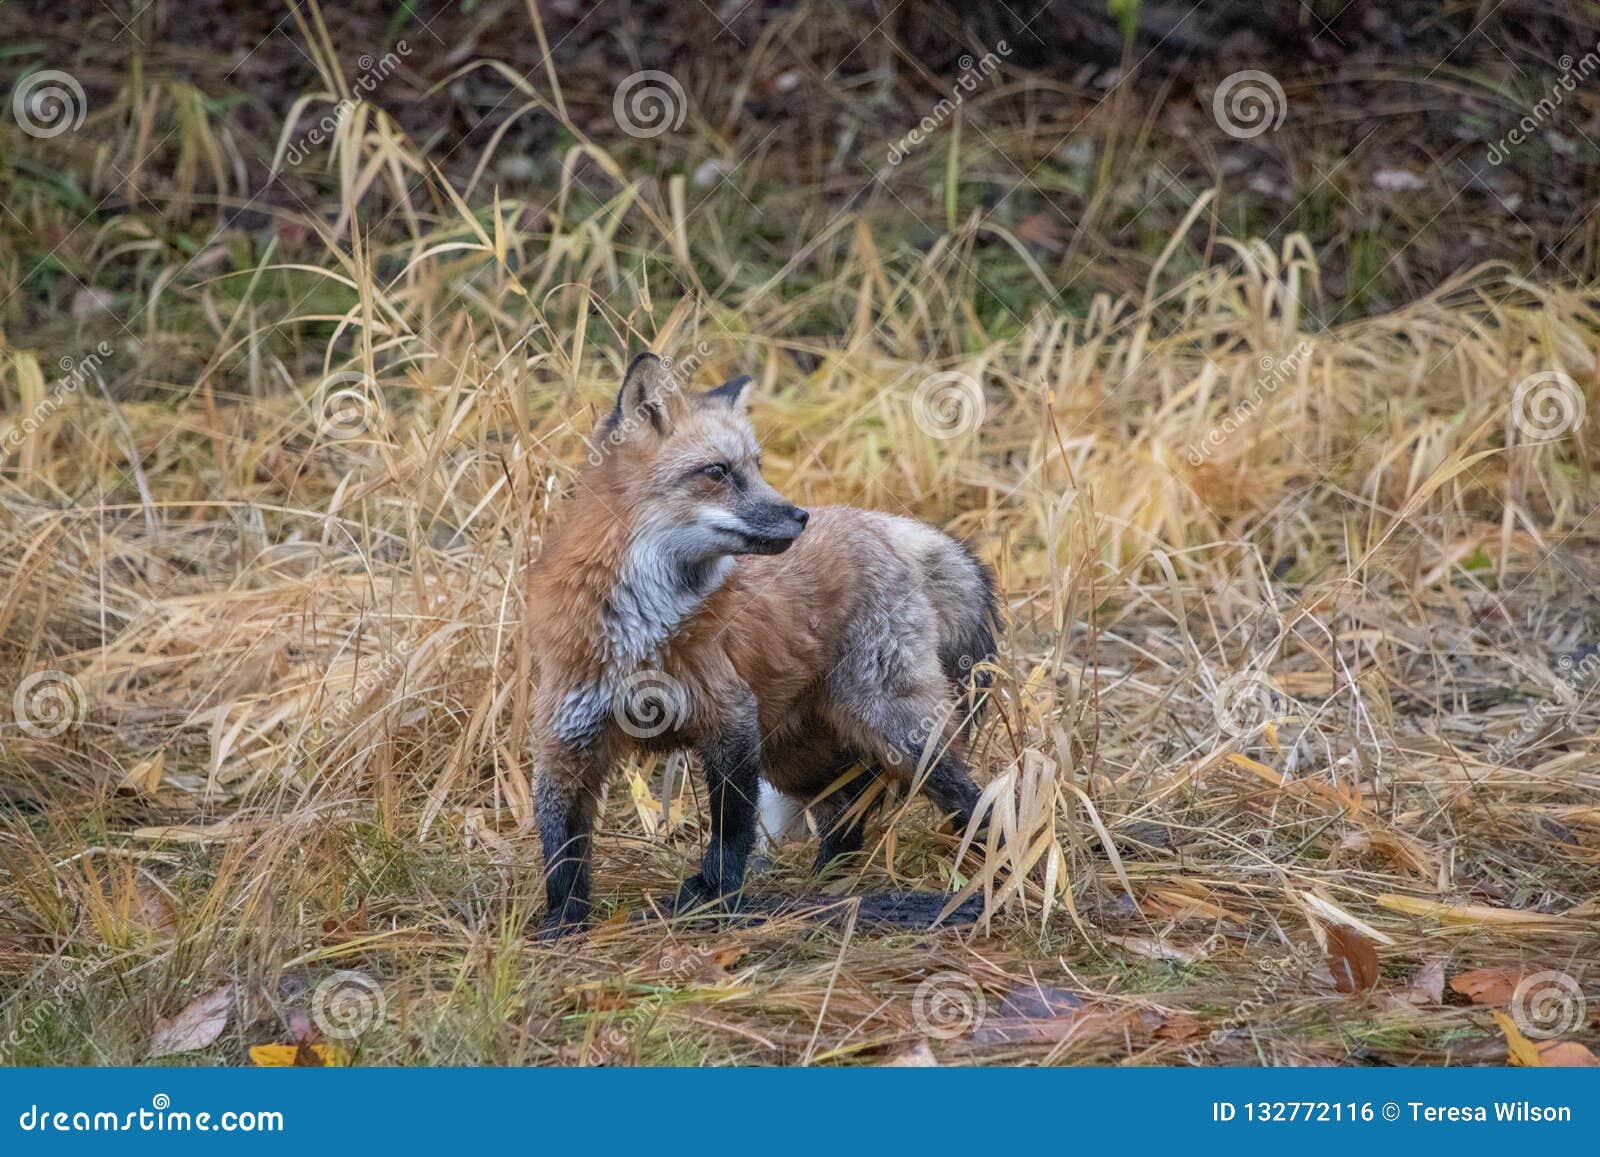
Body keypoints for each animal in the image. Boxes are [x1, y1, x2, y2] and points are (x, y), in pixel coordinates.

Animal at [526, 352, 997, 937]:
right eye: (718, 472)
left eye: (757, 466)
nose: (800, 516)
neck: (642, 624)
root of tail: (882, 522)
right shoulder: (566, 735)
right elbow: (561, 850)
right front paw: (562, 925)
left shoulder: (731, 719)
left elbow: (731, 829)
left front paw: (715, 898)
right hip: (792, 753)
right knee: (846, 810)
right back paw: (826, 882)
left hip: (894, 727)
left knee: (970, 797)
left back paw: (999, 871)